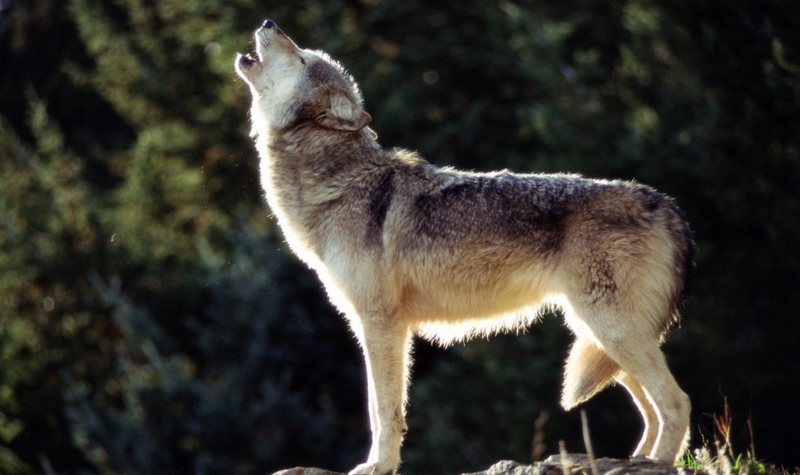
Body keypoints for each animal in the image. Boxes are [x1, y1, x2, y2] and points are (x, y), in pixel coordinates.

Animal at [235, 20, 694, 474]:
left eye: (301, 58)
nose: (268, 22)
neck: (341, 183)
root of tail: (669, 206)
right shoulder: (379, 324)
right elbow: (385, 409)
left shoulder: (381, 323)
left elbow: (382, 409)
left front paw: (378, 465)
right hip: (598, 336)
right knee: (652, 409)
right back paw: (636, 460)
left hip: (610, 330)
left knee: (677, 401)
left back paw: (656, 462)